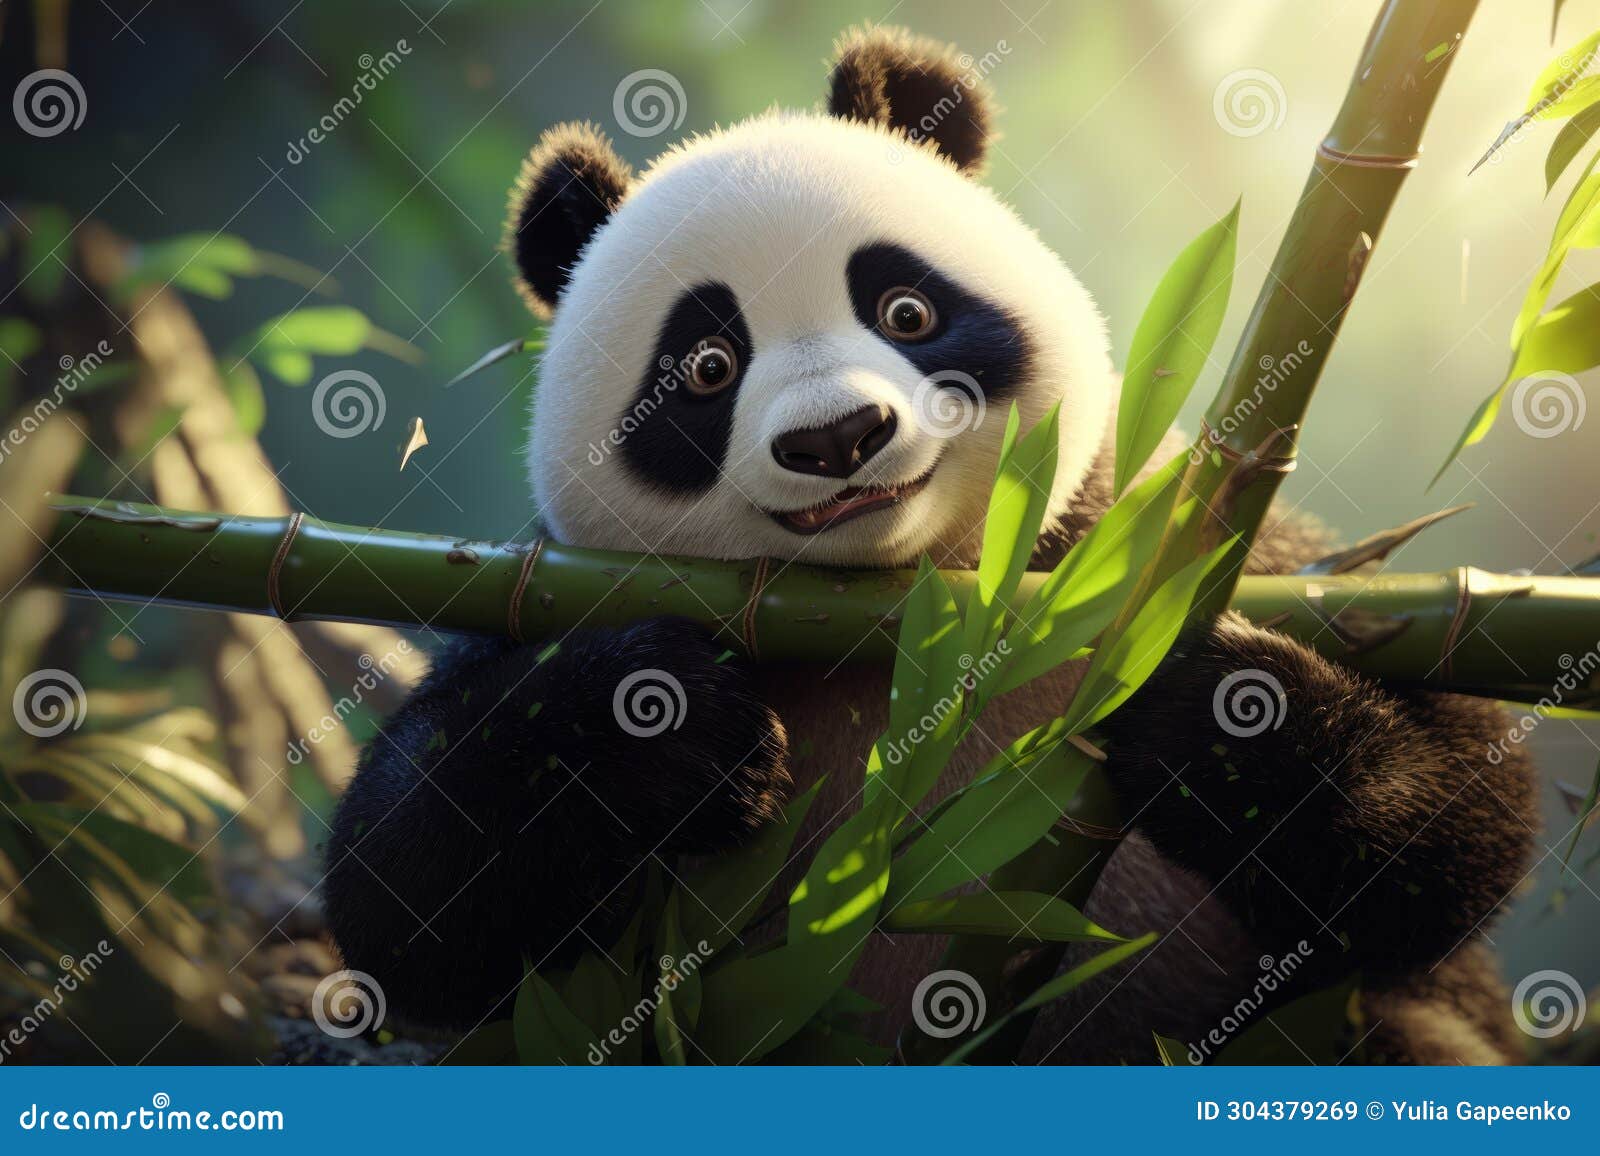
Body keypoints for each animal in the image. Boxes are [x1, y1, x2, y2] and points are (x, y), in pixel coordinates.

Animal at [324, 26, 1537, 1064]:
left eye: (905, 310)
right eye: (707, 367)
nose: (837, 438)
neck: (905, 612)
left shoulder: (1165, 531)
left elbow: (1458, 822)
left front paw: (1223, 716)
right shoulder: (549, 592)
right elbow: (409, 902)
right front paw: (665, 717)